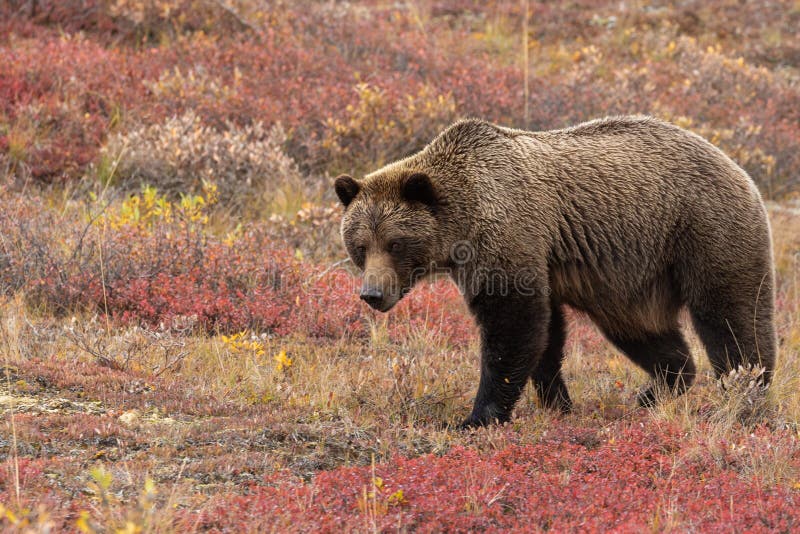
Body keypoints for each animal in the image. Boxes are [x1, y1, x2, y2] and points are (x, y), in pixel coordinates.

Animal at [334, 116, 776, 428]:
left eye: (395, 243)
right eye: (360, 245)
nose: (372, 294)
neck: (463, 222)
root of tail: (738, 167)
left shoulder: (508, 238)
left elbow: (513, 326)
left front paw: (477, 417)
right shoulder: (529, 259)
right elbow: (545, 332)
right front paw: (557, 403)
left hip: (705, 231)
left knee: (733, 320)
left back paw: (747, 396)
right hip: (629, 280)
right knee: (643, 331)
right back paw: (657, 389)